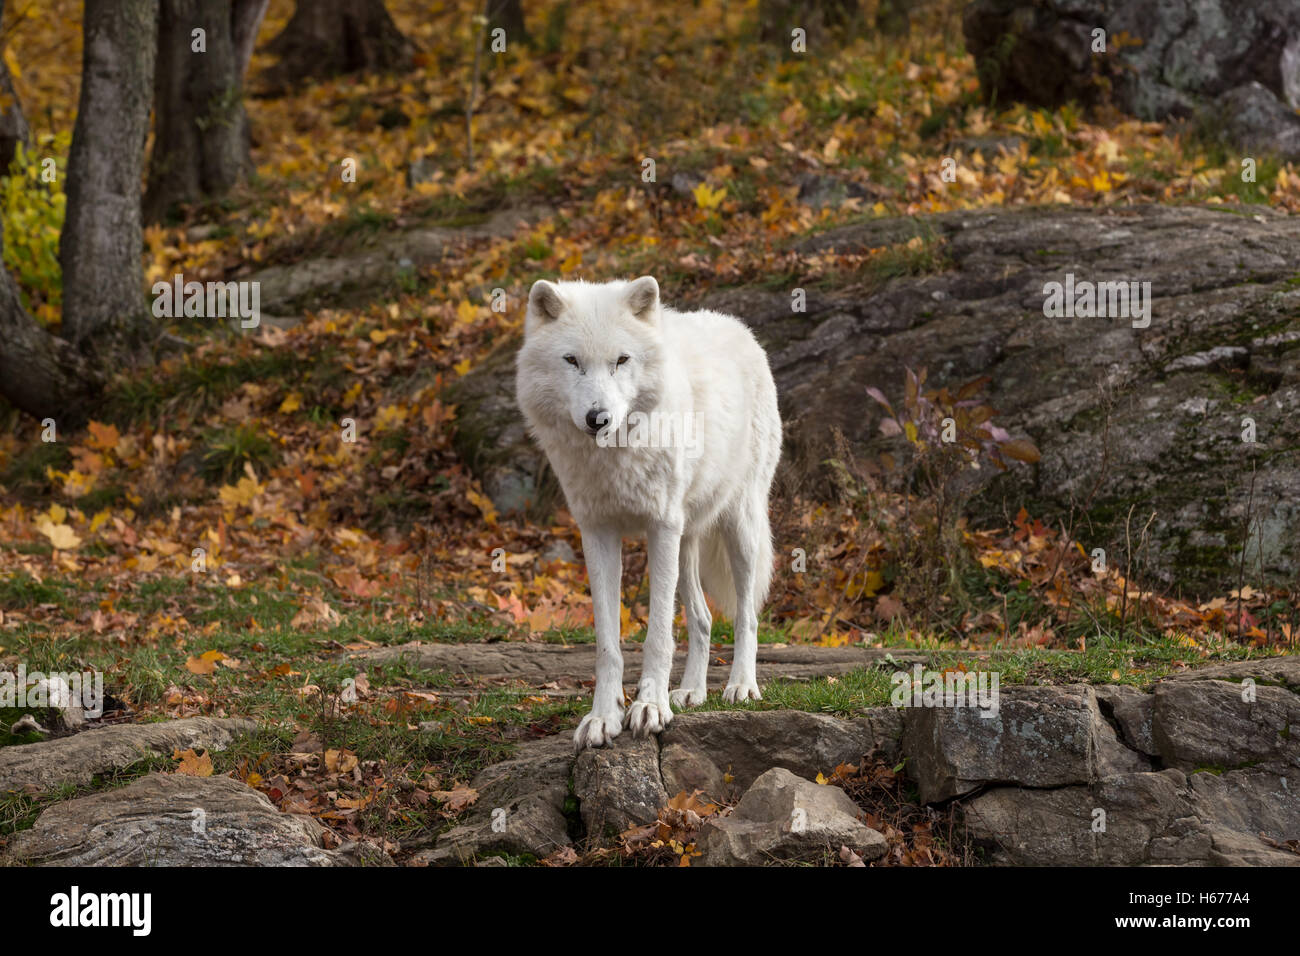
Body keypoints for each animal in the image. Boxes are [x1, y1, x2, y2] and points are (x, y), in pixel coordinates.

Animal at [515, 276, 782, 751]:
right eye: (572, 361)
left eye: (621, 360)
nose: (598, 418)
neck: (614, 458)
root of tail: (735, 325)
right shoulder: (598, 533)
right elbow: (608, 644)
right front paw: (603, 717)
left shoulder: (660, 527)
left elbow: (658, 636)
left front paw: (650, 708)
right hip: (686, 541)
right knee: (703, 618)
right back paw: (692, 691)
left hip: (739, 527)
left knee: (746, 615)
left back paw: (741, 686)